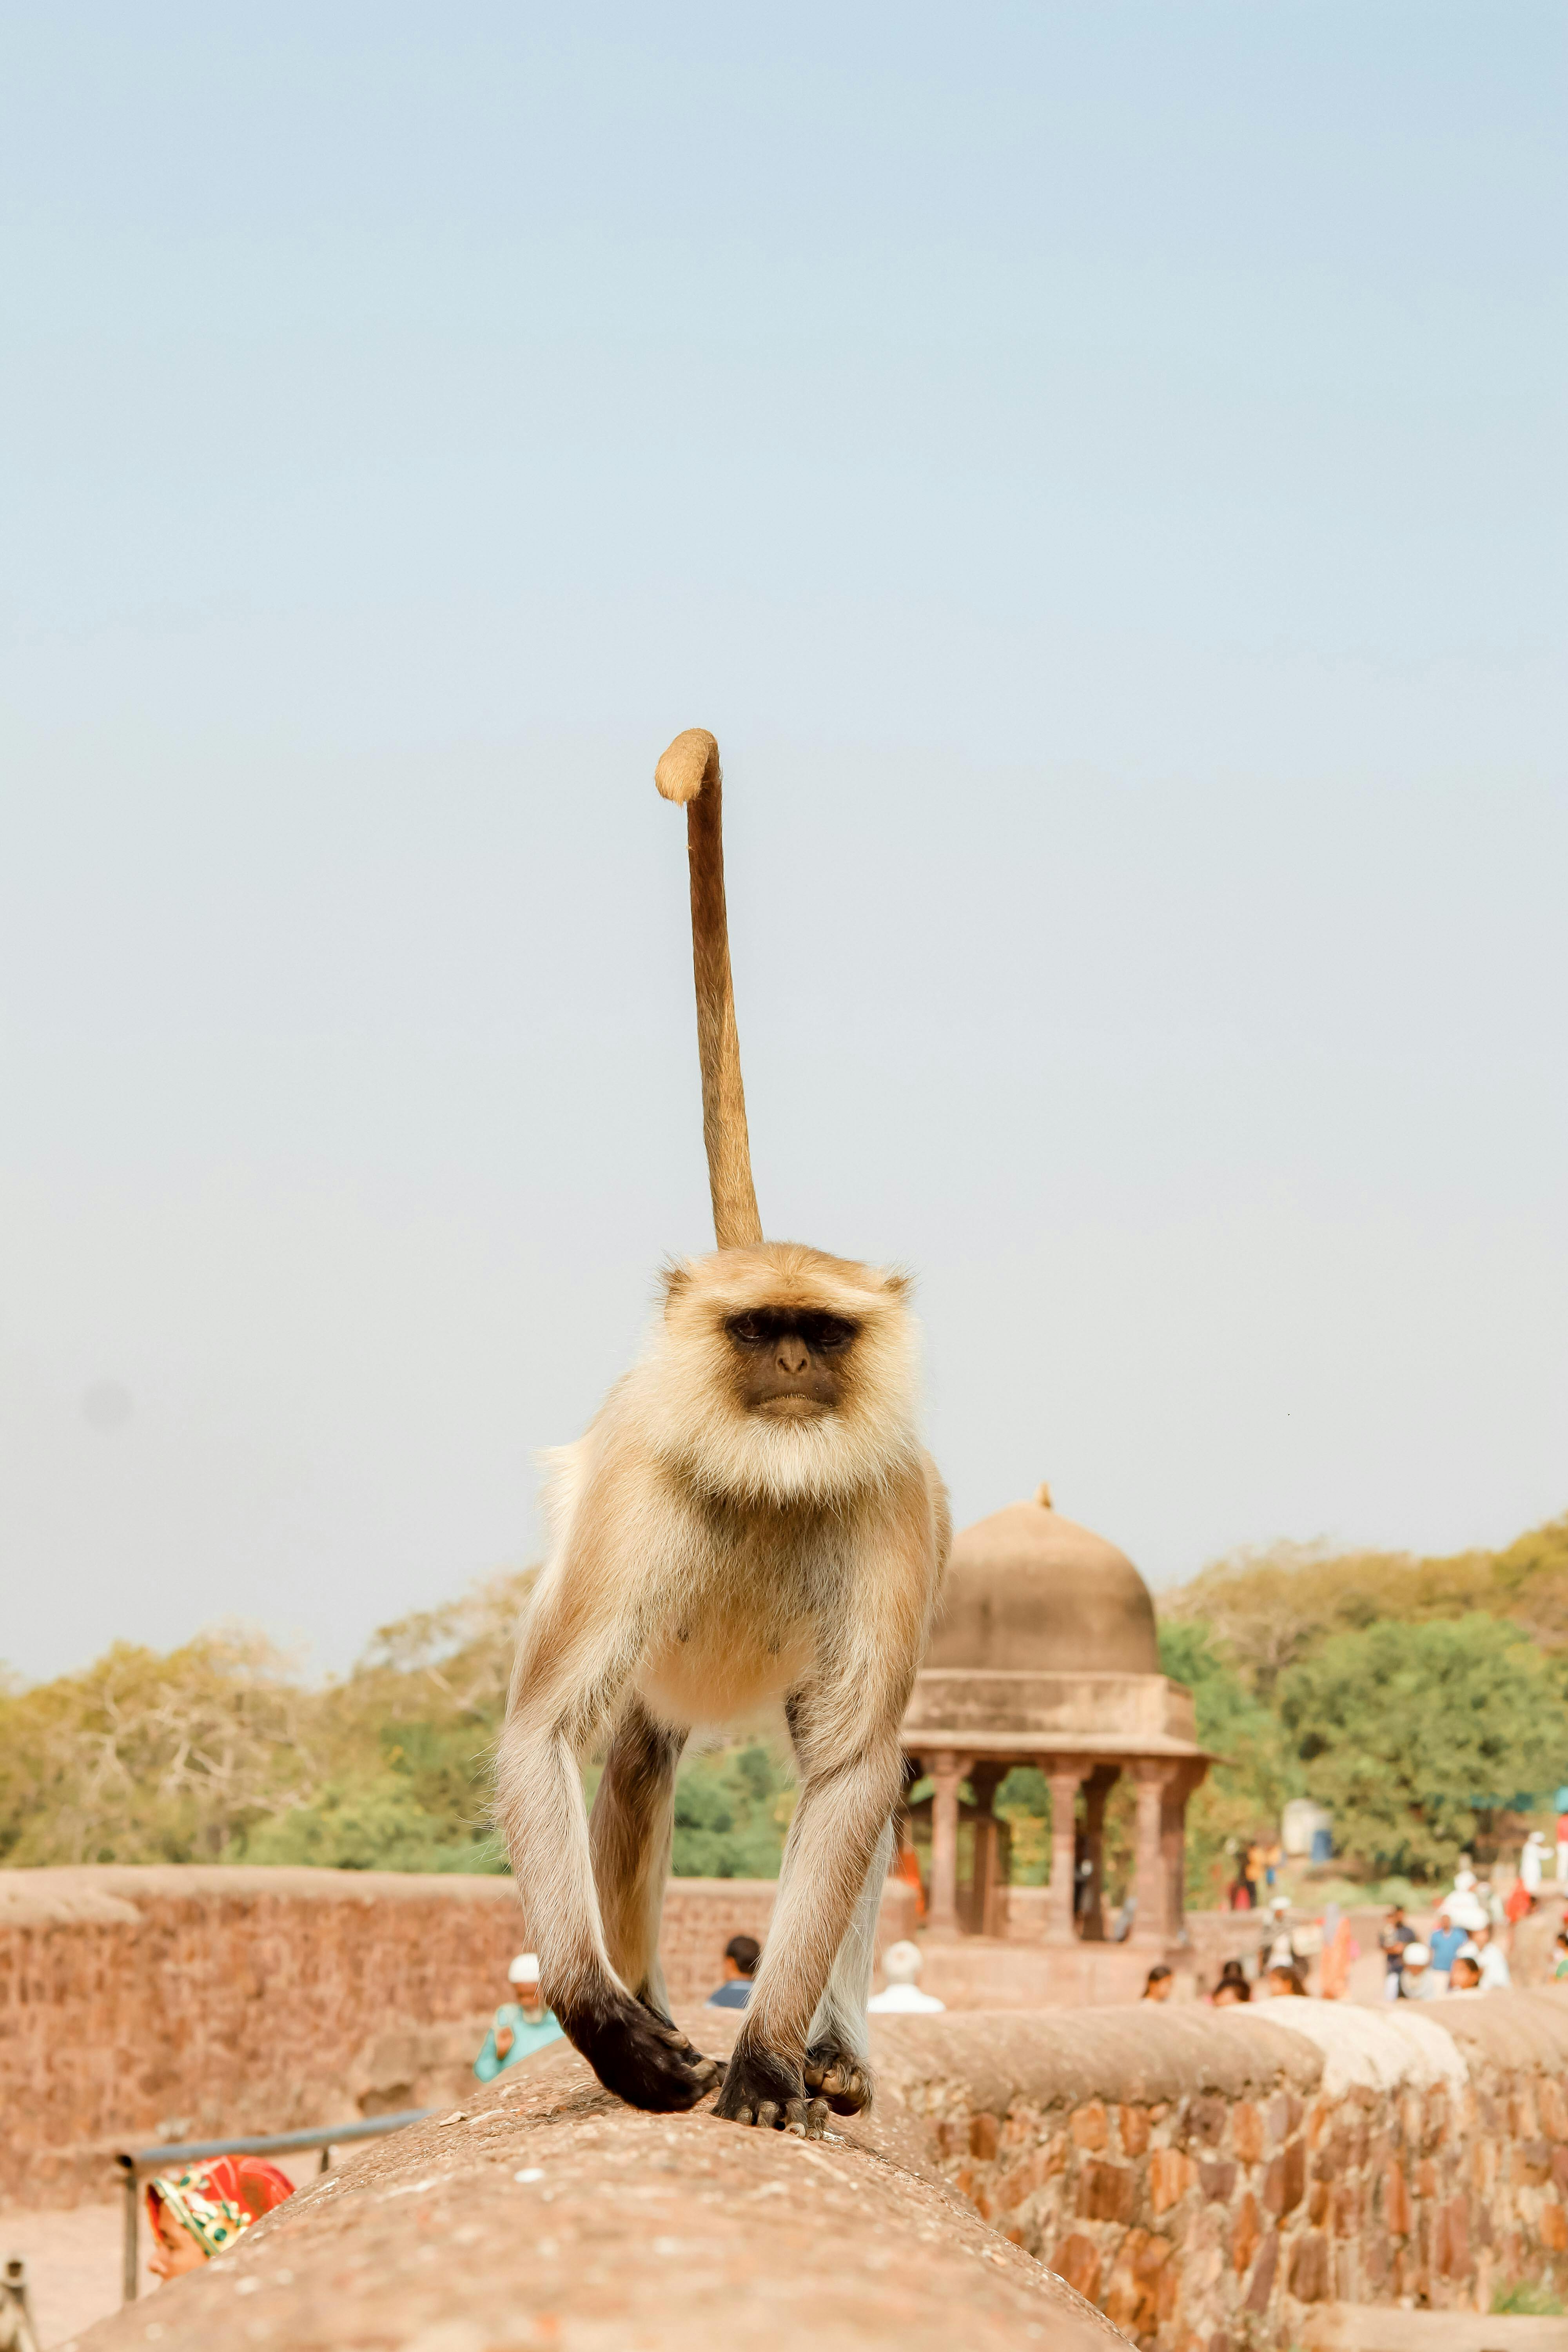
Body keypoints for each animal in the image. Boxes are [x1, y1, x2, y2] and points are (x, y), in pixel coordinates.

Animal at [495, 728, 949, 2140]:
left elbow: (853, 1773)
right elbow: (542, 1735)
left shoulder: (893, 1504)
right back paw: (638, 1998)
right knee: (636, 1757)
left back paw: (832, 2046)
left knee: (853, 1772)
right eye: (760, 1329)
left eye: (823, 1331)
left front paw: (770, 2058)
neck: (770, 1478)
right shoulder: (641, 1483)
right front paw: (610, 2031)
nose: (795, 1363)